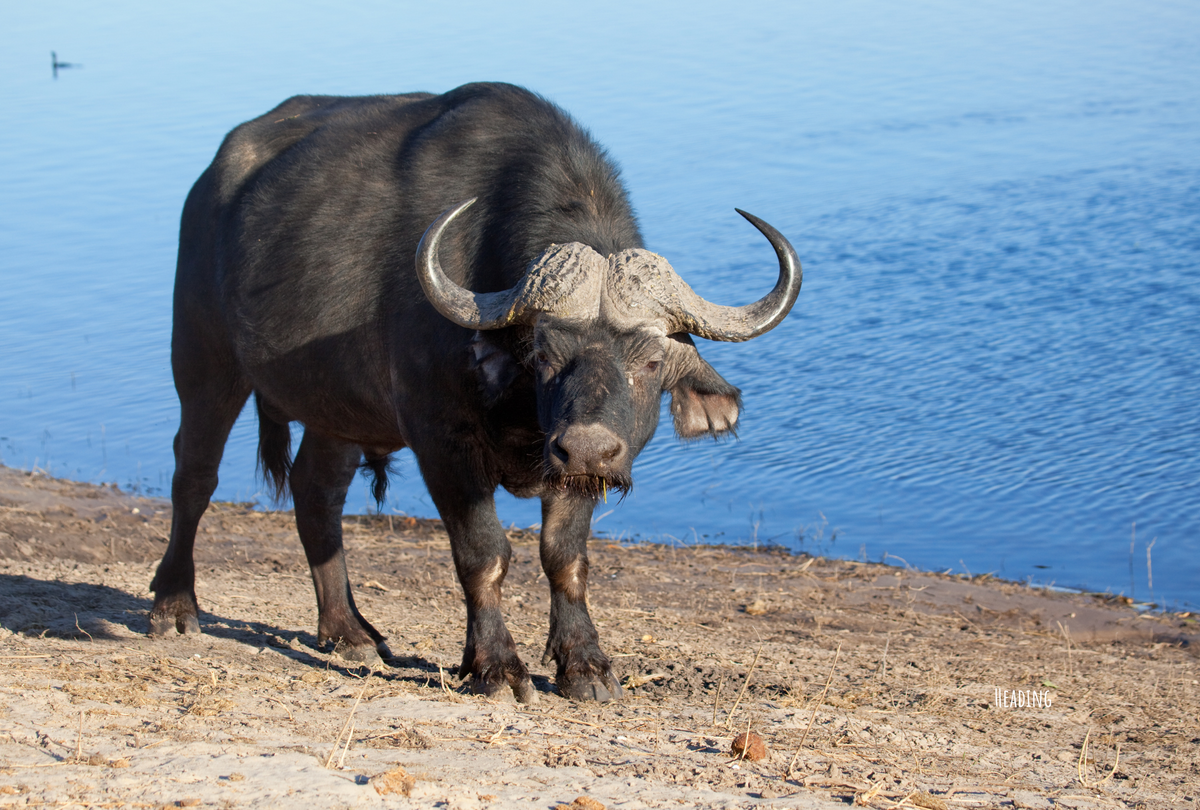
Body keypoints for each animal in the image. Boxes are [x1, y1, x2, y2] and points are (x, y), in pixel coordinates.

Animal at [149, 82, 801, 702]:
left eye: (651, 359)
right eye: (542, 353)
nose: (588, 448)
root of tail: (213, 181)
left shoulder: (571, 469)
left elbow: (565, 557)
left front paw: (585, 666)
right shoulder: (442, 442)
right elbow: (485, 556)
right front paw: (496, 668)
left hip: (337, 410)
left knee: (316, 493)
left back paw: (349, 631)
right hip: (204, 358)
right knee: (194, 474)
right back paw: (174, 607)